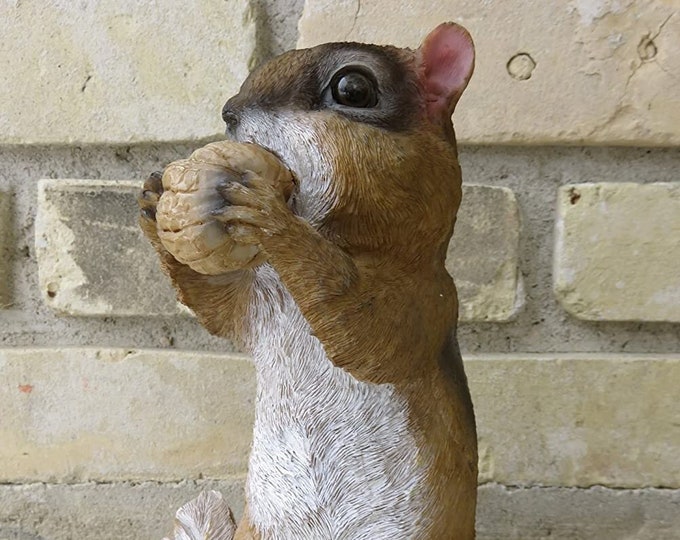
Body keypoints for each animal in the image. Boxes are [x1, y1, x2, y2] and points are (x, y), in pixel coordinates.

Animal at [140, 22, 477, 540]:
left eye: (353, 89)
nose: (228, 110)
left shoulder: (423, 301)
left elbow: (363, 328)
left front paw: (266, 211)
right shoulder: (254, 306)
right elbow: (216, 306)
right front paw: (156, 197)